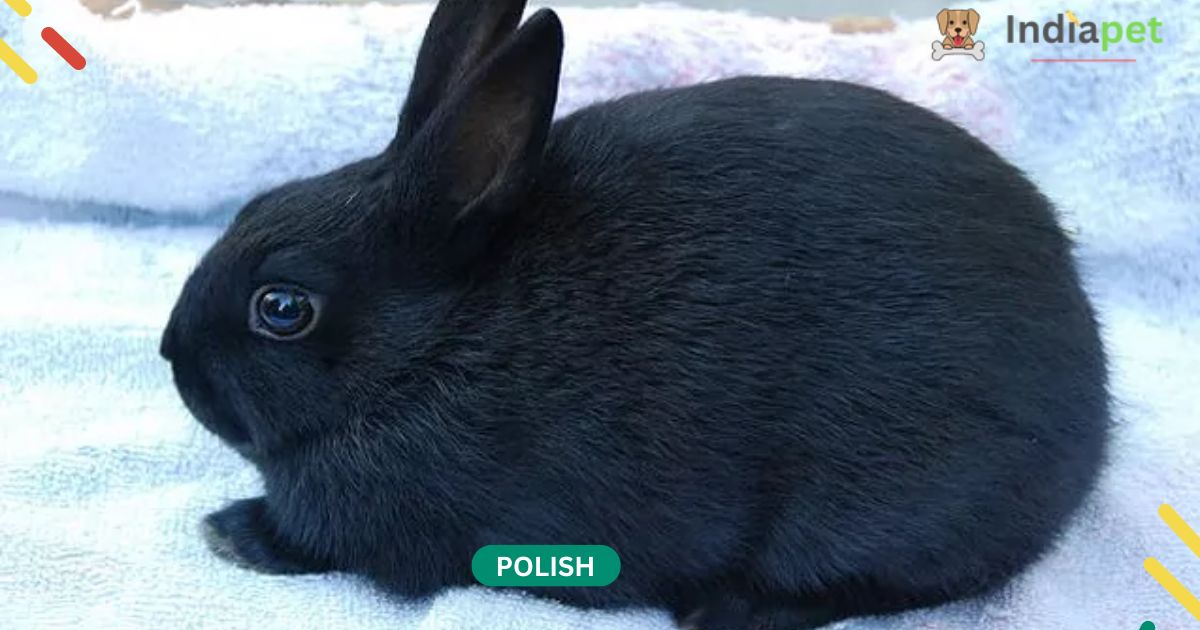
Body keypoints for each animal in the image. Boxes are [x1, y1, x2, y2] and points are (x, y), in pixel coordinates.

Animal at [159, 1, 1110, 628]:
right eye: (257, 203)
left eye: (283, 308)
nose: (171, 355)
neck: (437, 345)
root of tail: (1090, 427)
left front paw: (232, 532)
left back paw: (726, 611)